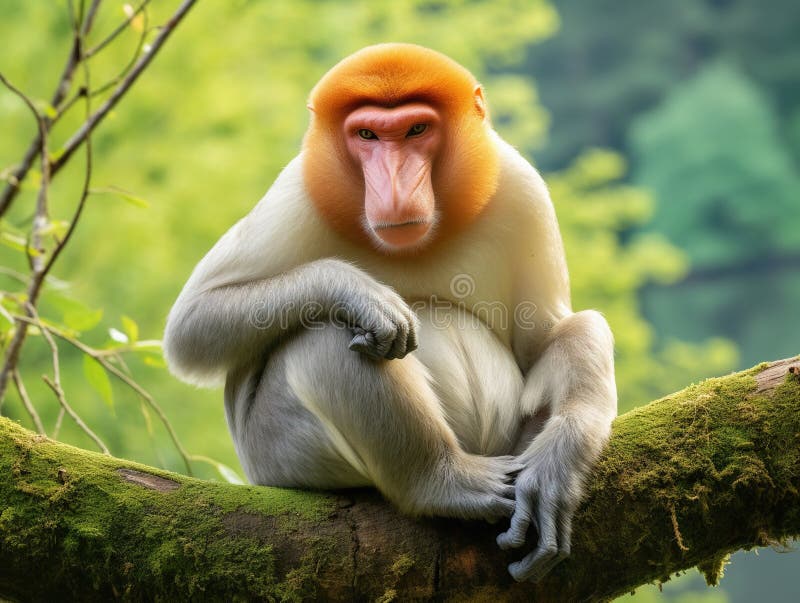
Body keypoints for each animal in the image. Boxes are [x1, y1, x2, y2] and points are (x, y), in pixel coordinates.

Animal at [163, 44, 617, 582]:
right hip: (280, 451)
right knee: (327, 337)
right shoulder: (299, 192)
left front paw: (557, 466)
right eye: (367, 135)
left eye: (416, 130)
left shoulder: (519, 186)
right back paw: (442, 481)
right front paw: (358, 292)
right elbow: (193, 327)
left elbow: (548, 334)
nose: (396, 188)